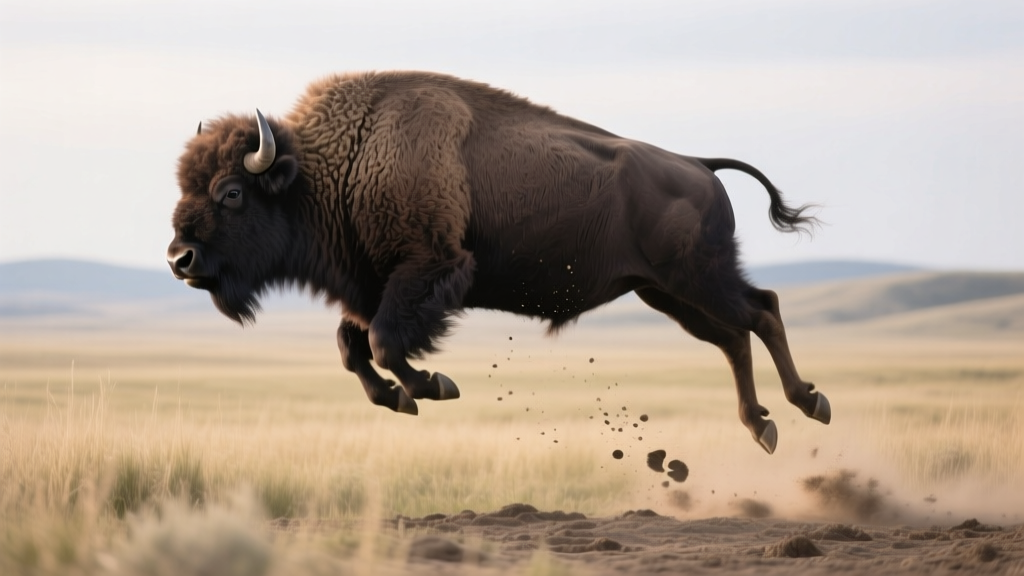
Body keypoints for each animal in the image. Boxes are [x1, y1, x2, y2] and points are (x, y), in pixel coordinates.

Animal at [167, 71, 829, 454]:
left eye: (231, 192)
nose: (180, 257)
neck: (336, 166)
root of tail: (698, 164)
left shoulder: (427, 269)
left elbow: (381, 343)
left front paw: (432, 385)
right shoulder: (369, 288)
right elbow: (352, 347)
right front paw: (401, 397)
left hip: (696, 279)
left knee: (761, 312)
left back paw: (807, 403)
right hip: (666, 293)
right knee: (733, 337)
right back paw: (762, 425)